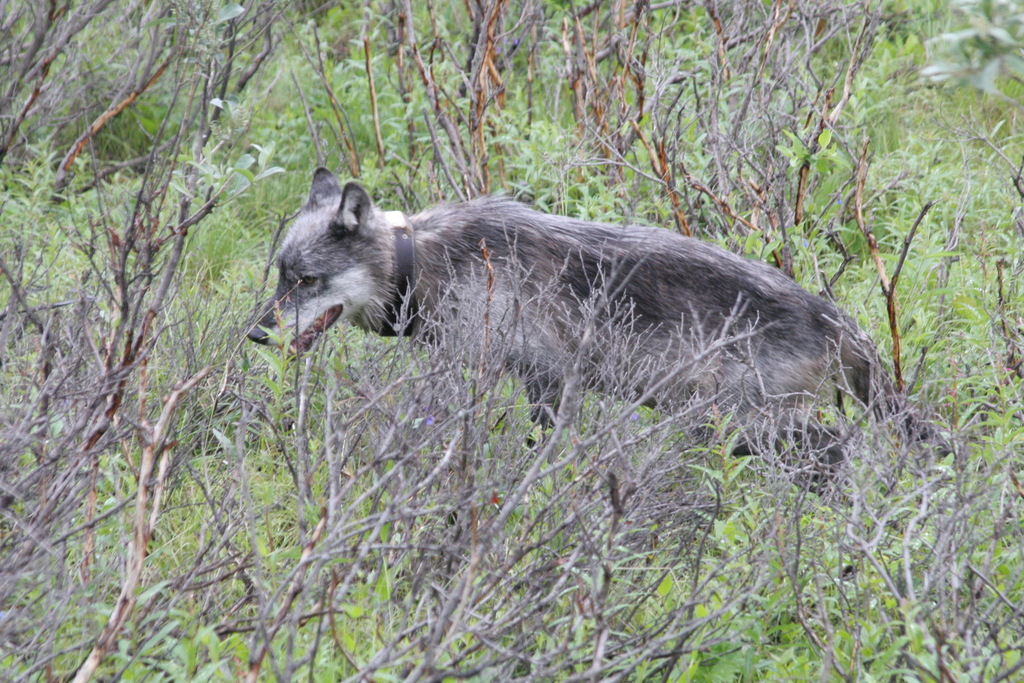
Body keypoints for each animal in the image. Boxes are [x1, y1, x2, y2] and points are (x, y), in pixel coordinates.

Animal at [248, 168, 925, 466]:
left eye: (306, 282)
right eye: (280, 276)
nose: (256, 333)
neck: (432, 259)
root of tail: (837, 319)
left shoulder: (550, 381)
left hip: (746, 425)